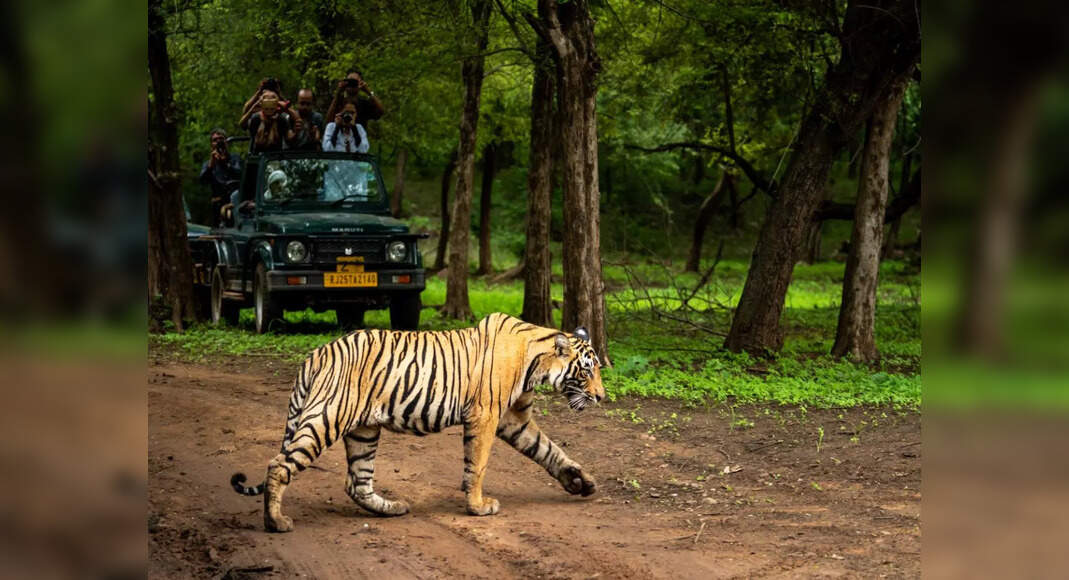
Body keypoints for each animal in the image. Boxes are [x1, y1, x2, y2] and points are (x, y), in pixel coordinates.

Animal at [230, 312, 604, 533]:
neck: (536, 364)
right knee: (279, 464)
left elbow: (549, 450)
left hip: (364, 430)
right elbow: (478, 465)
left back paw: (392, 509)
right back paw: (276, 522)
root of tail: (316, 353)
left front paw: (580, 482)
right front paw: (478, 507)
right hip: (327, 417)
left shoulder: (514, 420)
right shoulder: (485, 416)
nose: (601, 396)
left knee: (357, 483)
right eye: (587, 371)